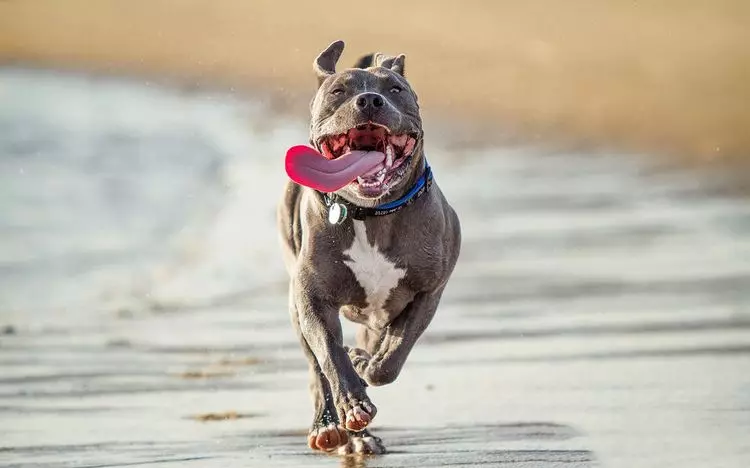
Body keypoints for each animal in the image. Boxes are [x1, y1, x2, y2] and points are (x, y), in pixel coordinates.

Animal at [280, 41, 462, 458]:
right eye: (338, 91)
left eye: (395, 89)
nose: (369, 100)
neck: (371, 213)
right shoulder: (312, 298)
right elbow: (330, 356)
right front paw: (353, 402)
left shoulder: (428, 292)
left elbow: (393, 354)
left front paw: (367, 365)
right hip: (295, 304)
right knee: (316, 368)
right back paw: (330, 427)